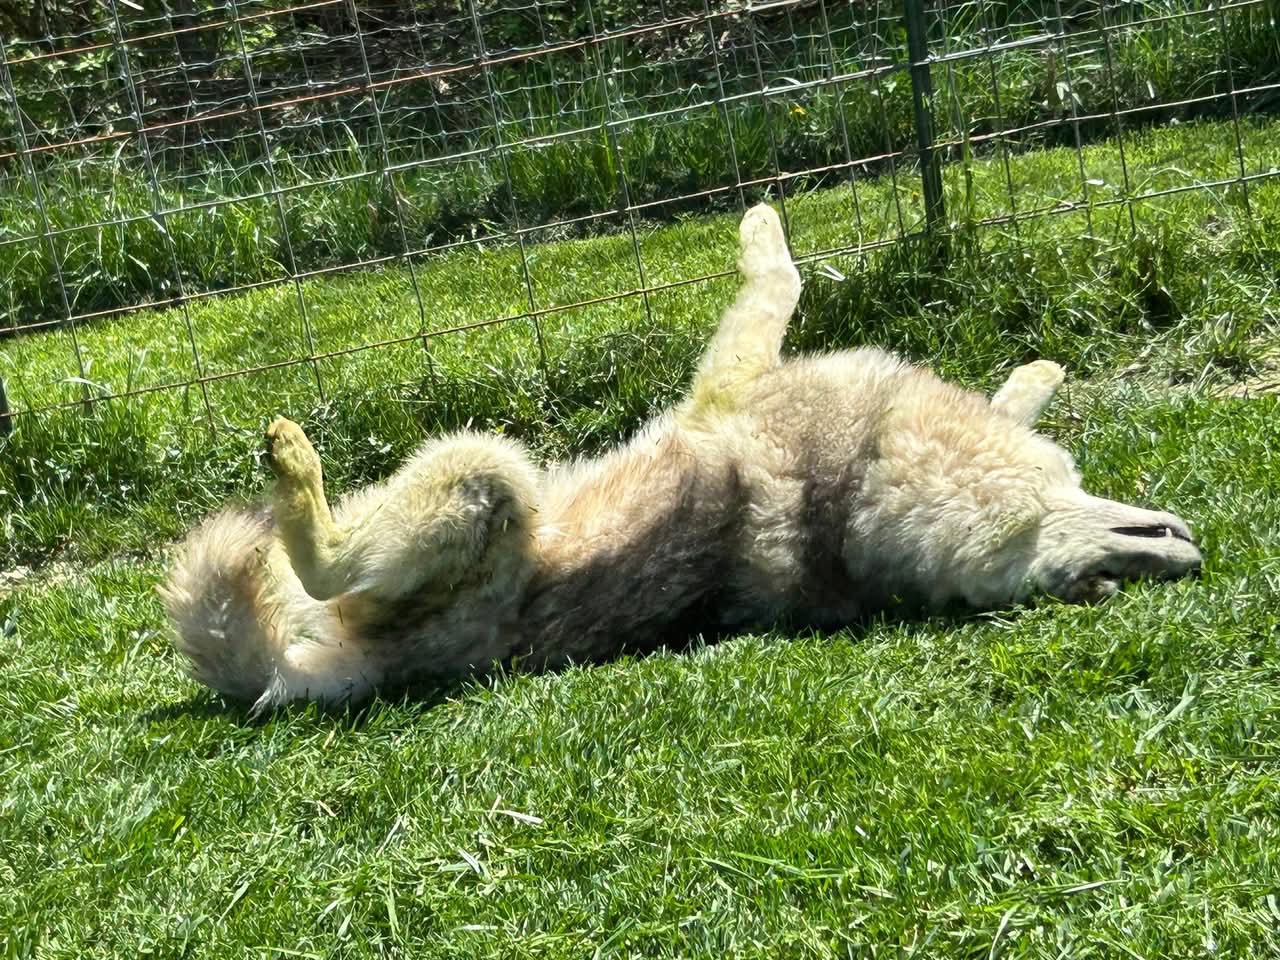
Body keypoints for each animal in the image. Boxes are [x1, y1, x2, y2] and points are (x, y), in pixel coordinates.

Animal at [161, 203, 1202, 713]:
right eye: (1102, 569)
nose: (1187, 555)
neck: (864, 491)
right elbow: (997, 390)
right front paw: (1036, 371)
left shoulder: (729, 382)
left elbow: (777, 278)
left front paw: (761, 226)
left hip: (484, 471)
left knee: (321, 562)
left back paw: (296, 475)